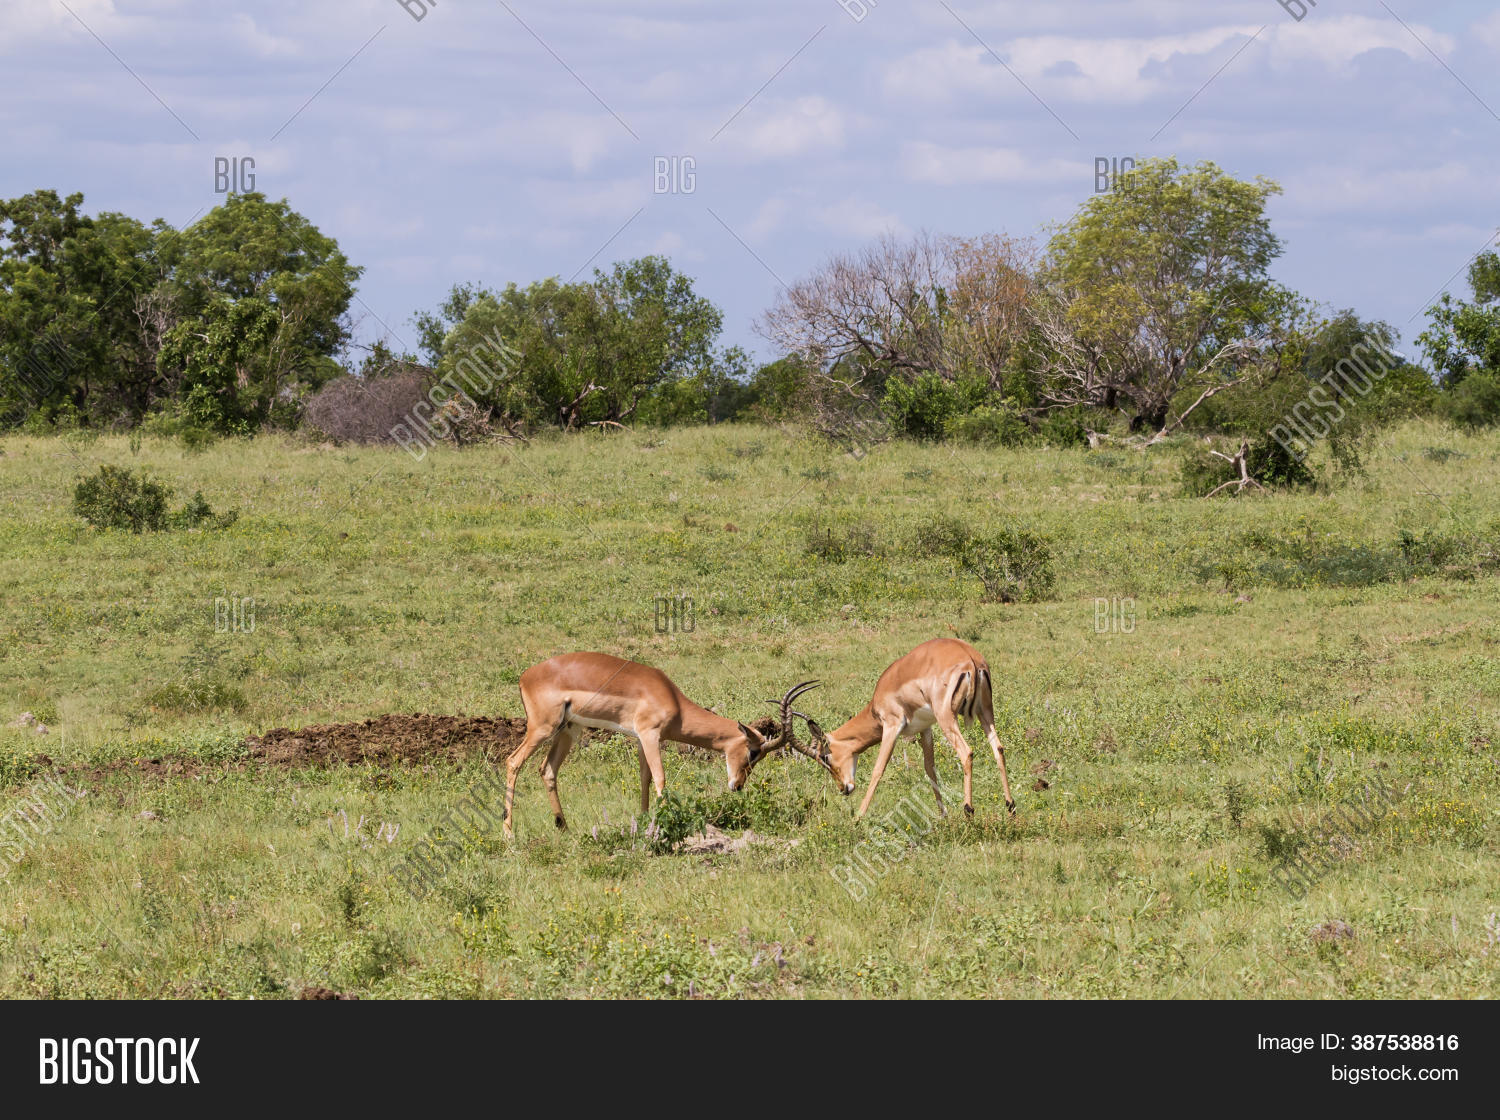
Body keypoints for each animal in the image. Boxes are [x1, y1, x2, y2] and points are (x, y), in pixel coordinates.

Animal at [503, 651, 818, 838]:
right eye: (752, 752)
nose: (737, 785)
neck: (672, 700)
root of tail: (525, 676)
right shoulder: (651, 735)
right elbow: (661, 779)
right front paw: (667, 827)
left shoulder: (642, 739)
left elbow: (644, 778)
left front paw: (644, 824)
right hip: (542, 728)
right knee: (513, 762)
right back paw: (508, 834)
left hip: (567, 730)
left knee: (547, 769)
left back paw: (564, 827)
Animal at [785, 638, 1015, 819]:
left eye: (824, 757)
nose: (844, 789)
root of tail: (971, 659)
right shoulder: (926, 728)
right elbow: (929, 768)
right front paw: (943, 815)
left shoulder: (891, 726)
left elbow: (878, 769)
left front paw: (858, 818)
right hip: (985, 712)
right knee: (999, 749)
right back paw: (1011, 807)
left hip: (947, 718)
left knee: (966, 752)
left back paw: (969, 811)